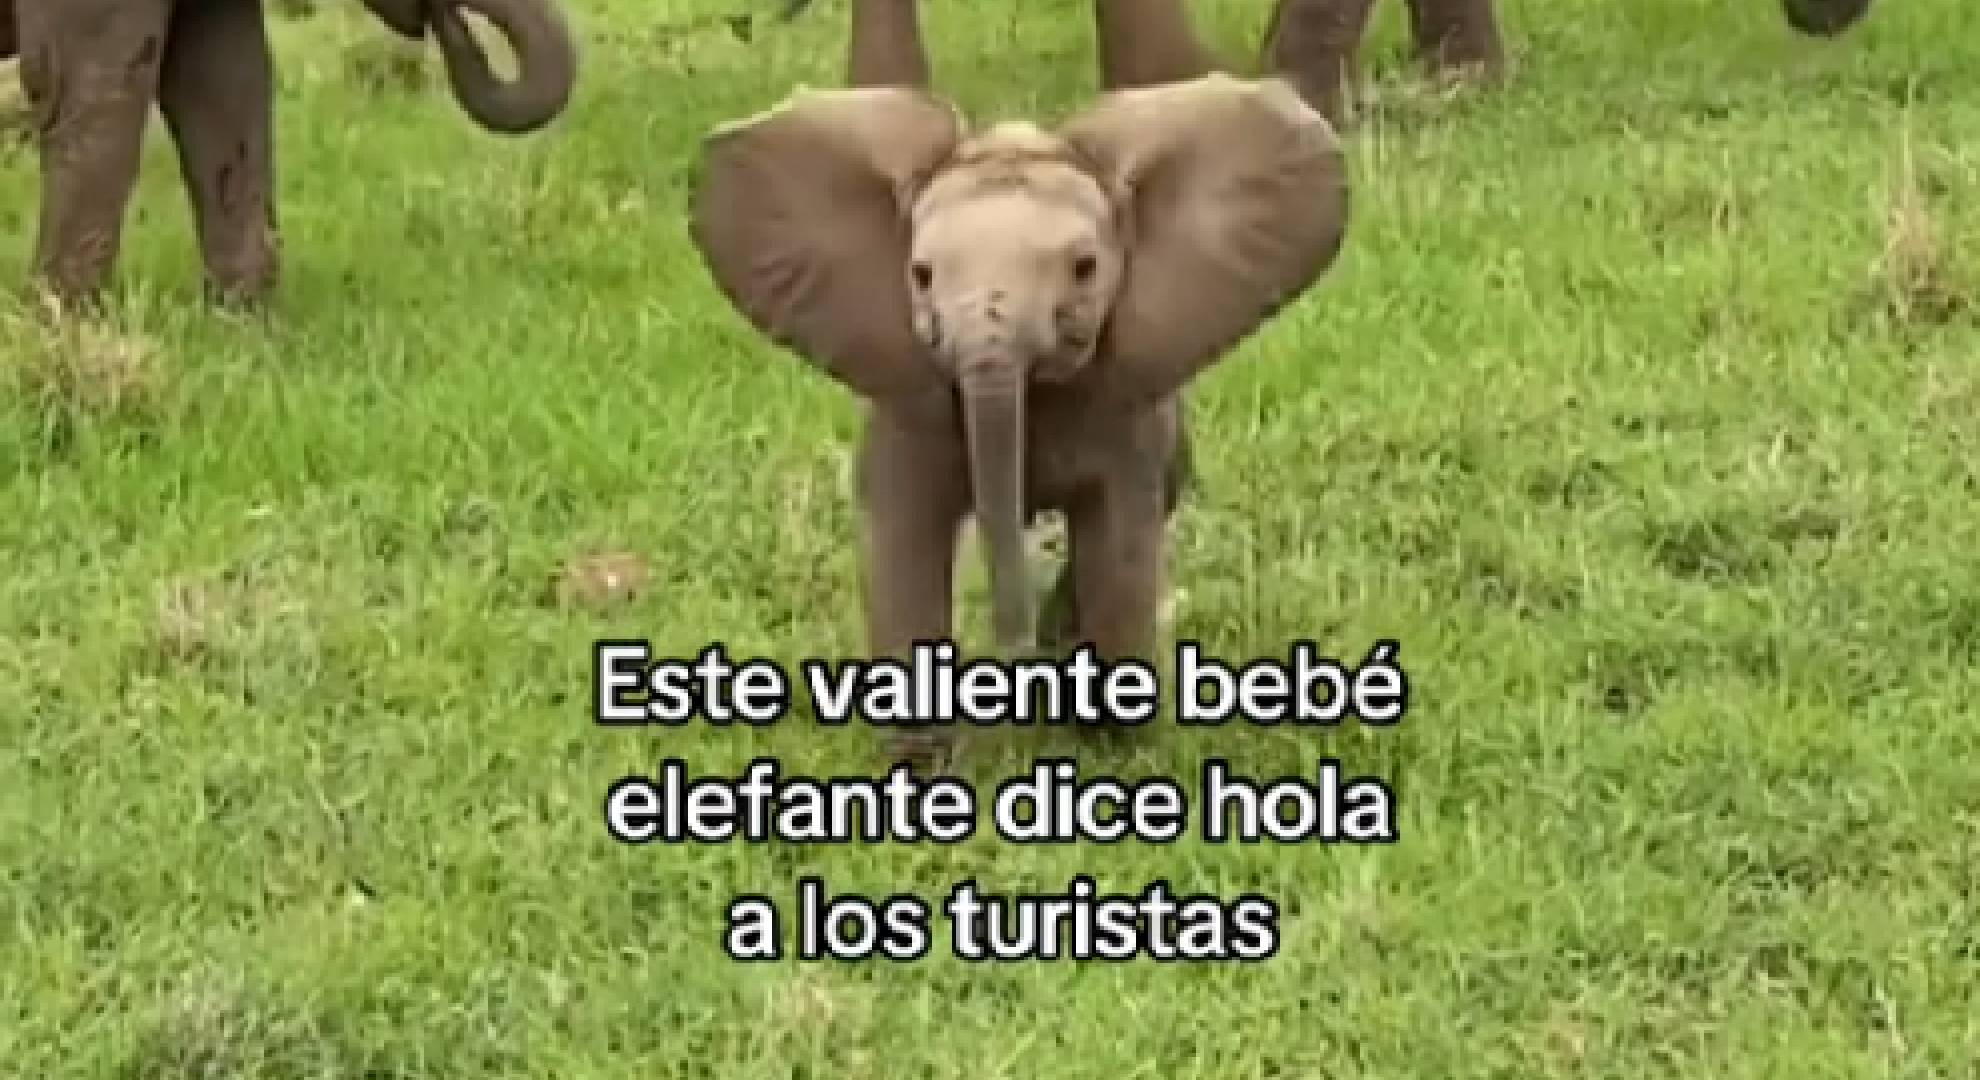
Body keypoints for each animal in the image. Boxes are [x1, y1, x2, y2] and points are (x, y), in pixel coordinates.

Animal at [689, 0, 1348, 761]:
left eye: (1085, 269)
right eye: (920, 276)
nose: (1014, 665)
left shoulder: (1123, 414)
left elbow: (1118, 538)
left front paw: (1114, 752)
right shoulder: (909, 405)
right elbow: (903, 536)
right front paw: (919, 765)